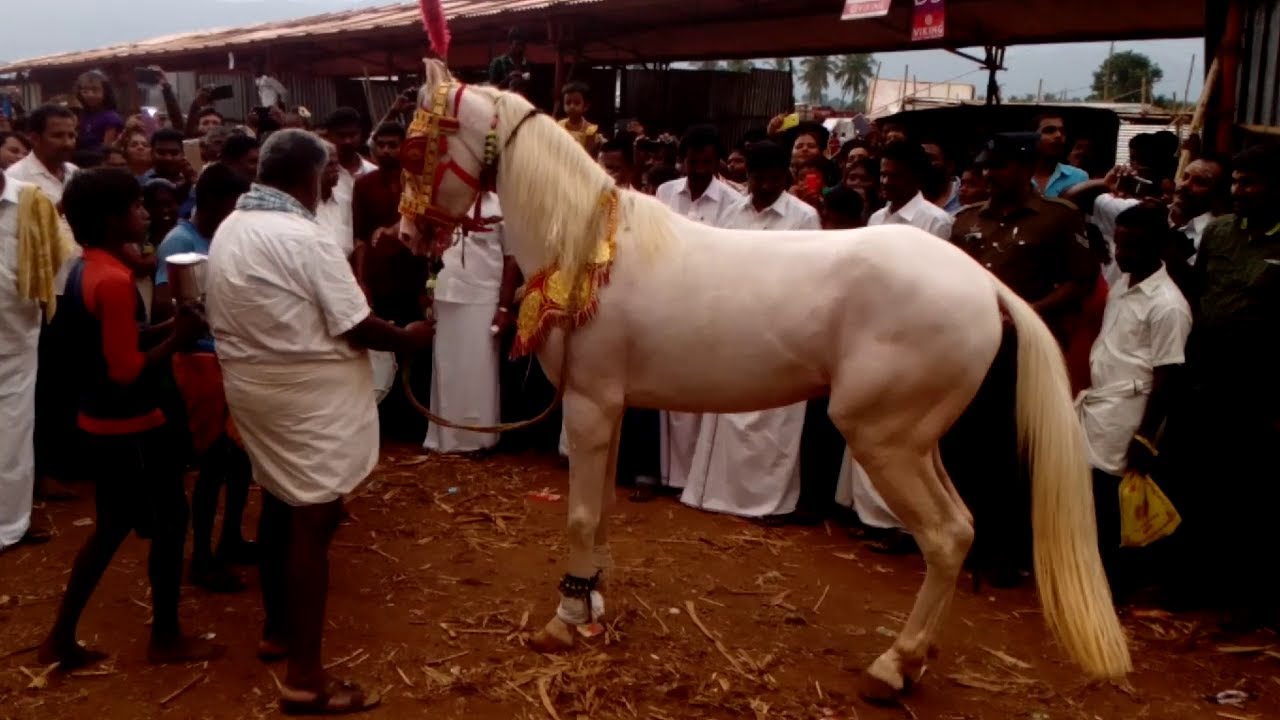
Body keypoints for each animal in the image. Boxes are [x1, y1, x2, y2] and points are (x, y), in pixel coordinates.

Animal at [396, 57, 1131, 701]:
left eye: (412, 150)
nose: (406, 236)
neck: (586, 248)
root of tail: (983, 282)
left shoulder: (589, 404)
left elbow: (579, 515)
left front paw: (566, 619)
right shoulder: (611, 408)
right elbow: (599, 509)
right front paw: (595, 603)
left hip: (883, 439)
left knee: (947, 536)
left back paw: (892, 666)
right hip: (921, 442)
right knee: (964, 526)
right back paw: (916, 657)